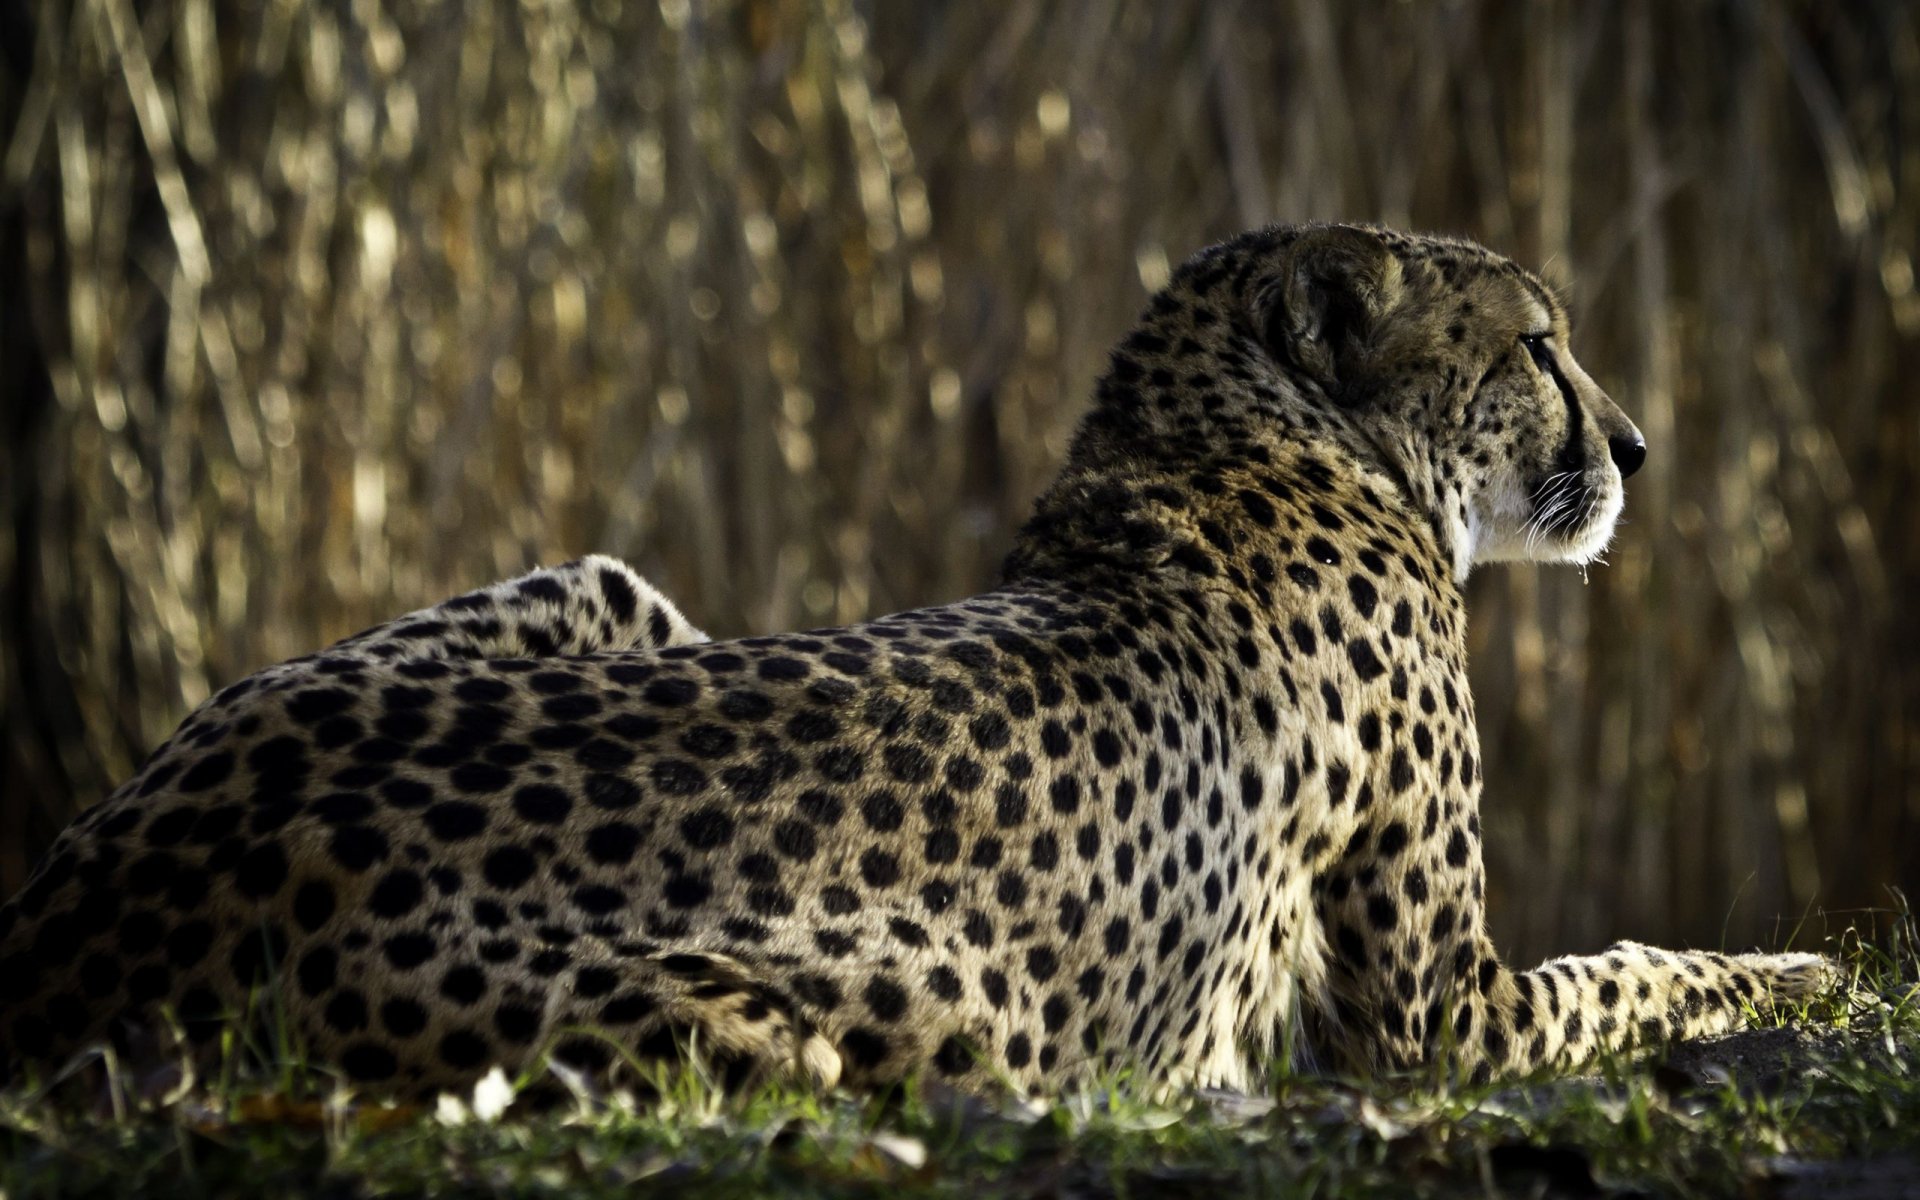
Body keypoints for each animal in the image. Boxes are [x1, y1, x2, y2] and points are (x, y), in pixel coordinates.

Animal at [0, 223, 1833, 1100]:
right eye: (1538, 345)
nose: (1641, 447)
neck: (1256, 429)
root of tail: (97, 894)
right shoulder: (1439, 1017)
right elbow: (1643, 970)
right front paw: (1812, 971)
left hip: (600, 588)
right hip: (846, 1026)